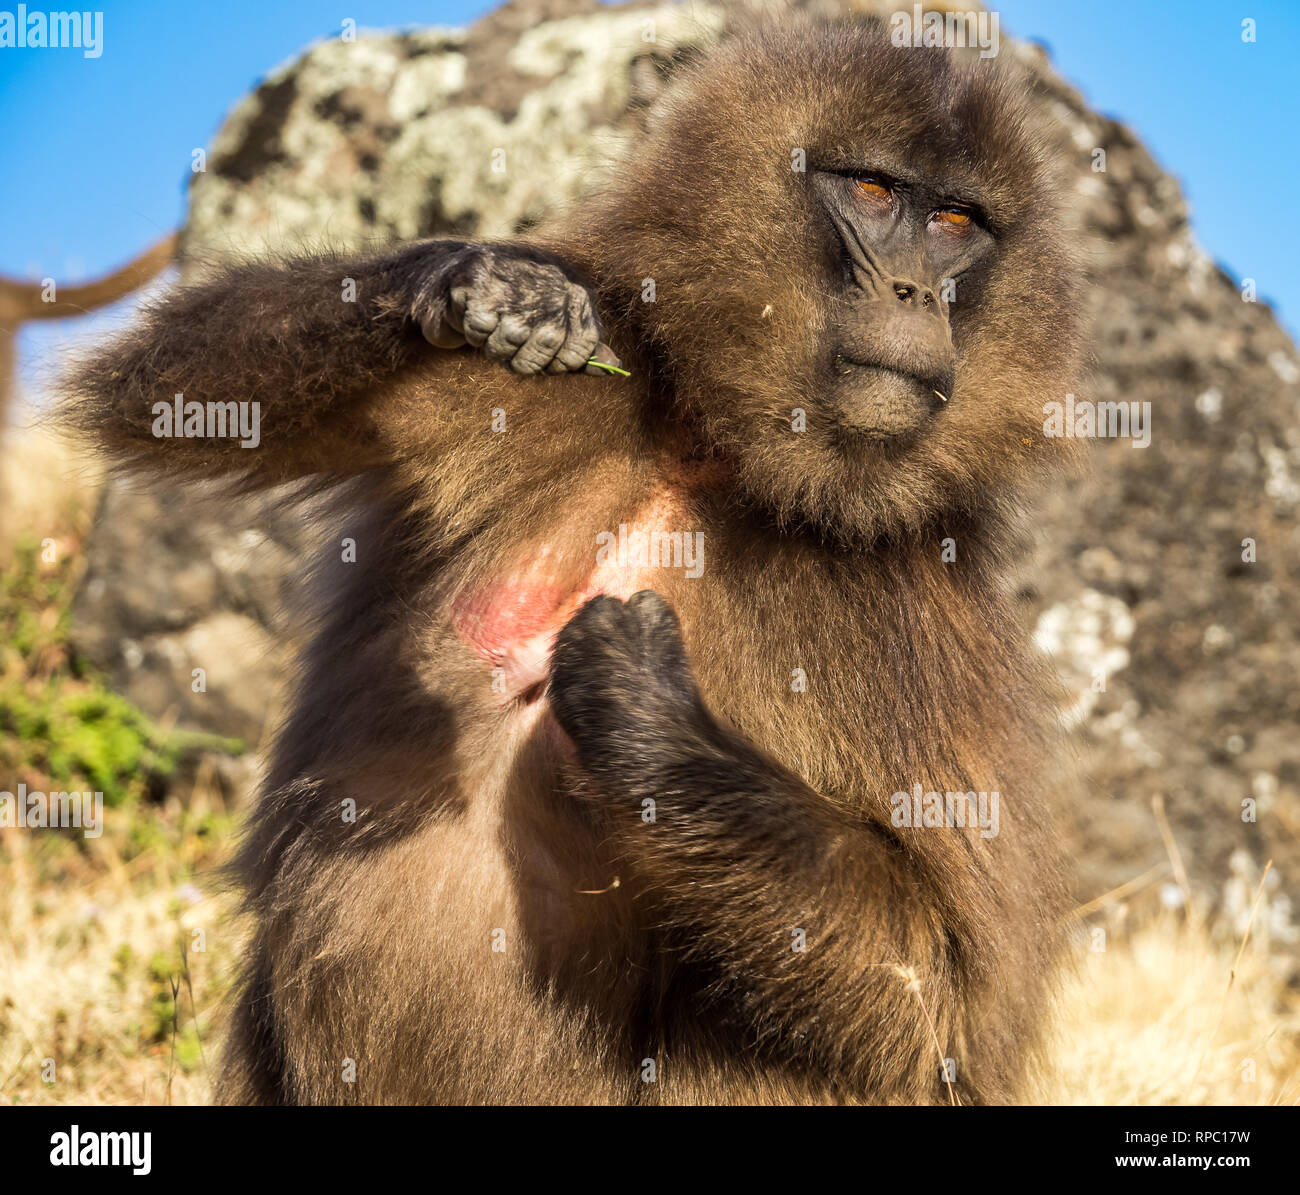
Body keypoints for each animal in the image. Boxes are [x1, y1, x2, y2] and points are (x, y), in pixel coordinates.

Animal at [61, 19, 1083, 1105]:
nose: (916, 294)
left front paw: (638, 703)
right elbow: (170, 386)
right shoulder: (582, 365)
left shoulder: (919, 602)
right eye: (878, 192)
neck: (721, 453)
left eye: (960, 222)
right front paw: (474, 281)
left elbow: (945, 998)